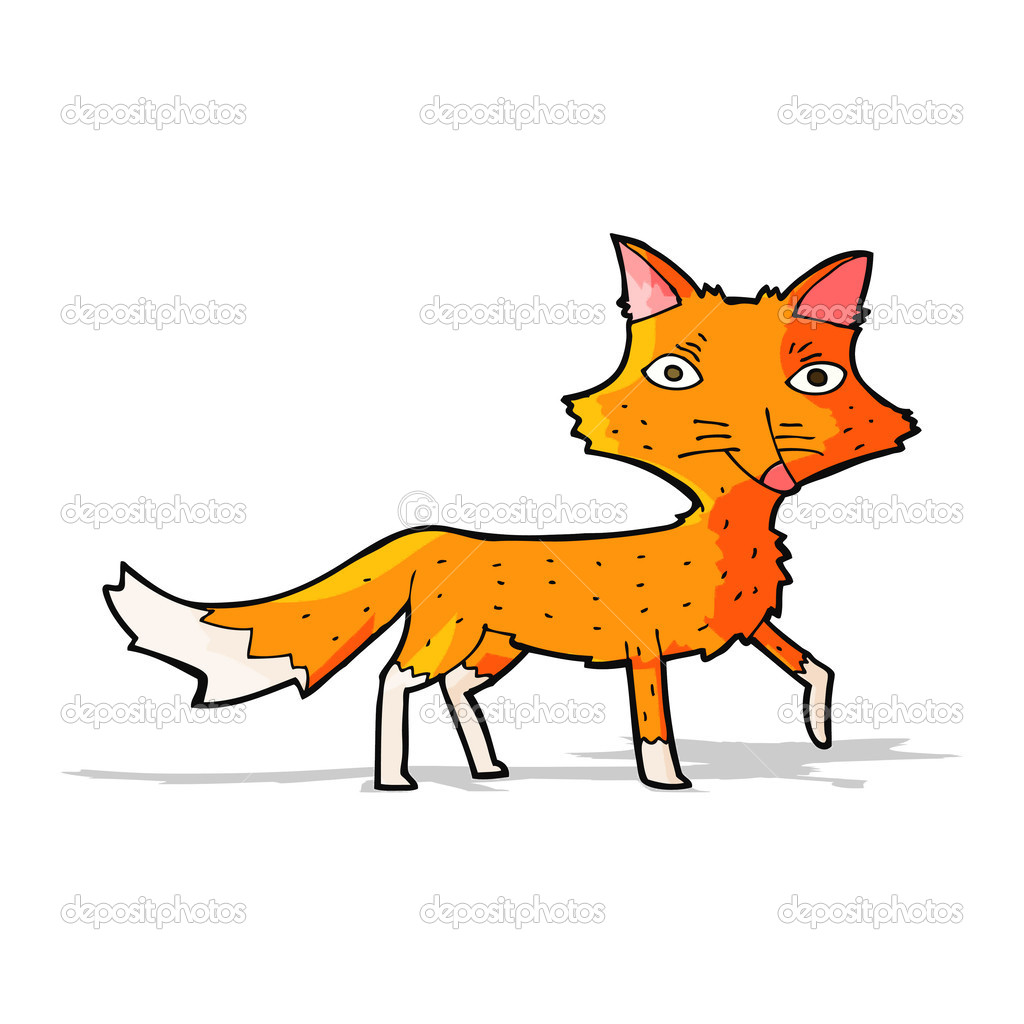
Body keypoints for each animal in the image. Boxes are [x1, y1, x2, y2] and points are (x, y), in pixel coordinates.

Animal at [104, 236, 917, 790]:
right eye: (674, 373)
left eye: (816, 379)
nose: (762, 440)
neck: (714, 538)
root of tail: (432, 537)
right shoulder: (645, 647)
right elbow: (654, 726)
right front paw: (668, 781)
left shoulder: (747, 625)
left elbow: (816, 667)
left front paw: (820, 733)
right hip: (448, 637)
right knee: (395, 680)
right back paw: (396, 777)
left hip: (496, 648)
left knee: (455, 690)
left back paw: (489, 766)